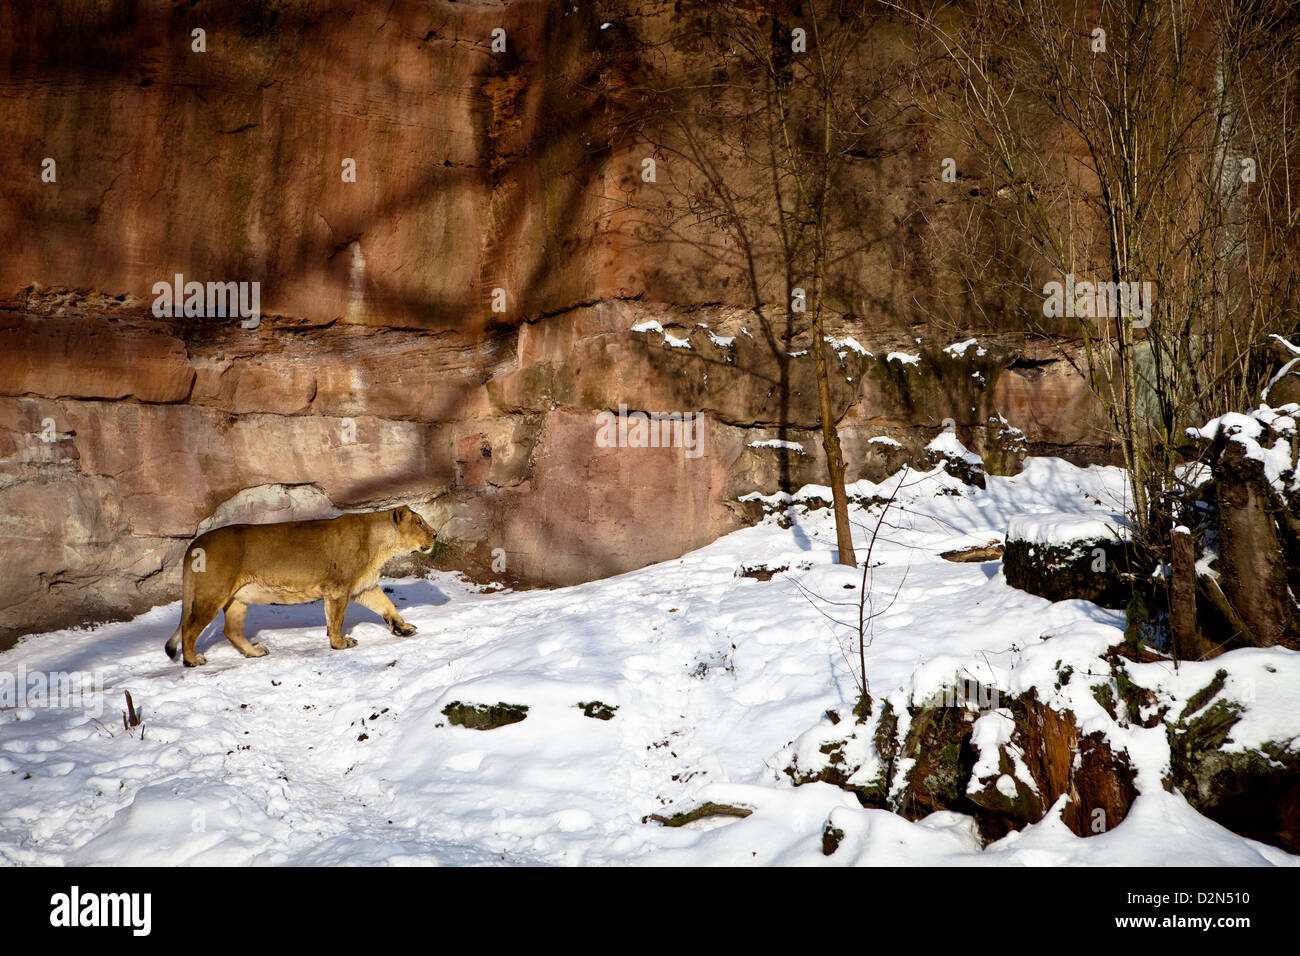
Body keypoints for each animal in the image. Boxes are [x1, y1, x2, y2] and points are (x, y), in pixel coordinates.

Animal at [164, 506, 439, 667]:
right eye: (420, 523)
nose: (436, 534)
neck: (381, 544)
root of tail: (195, 543)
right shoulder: (338, 588)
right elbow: (335, 620)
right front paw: (340, 644)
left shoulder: (364, 587)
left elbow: (388, 606)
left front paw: (404, 628)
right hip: (213, 594)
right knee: (190, 627)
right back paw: (192, 660)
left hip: (238, 599)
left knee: (231, 631)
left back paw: (254, 652)